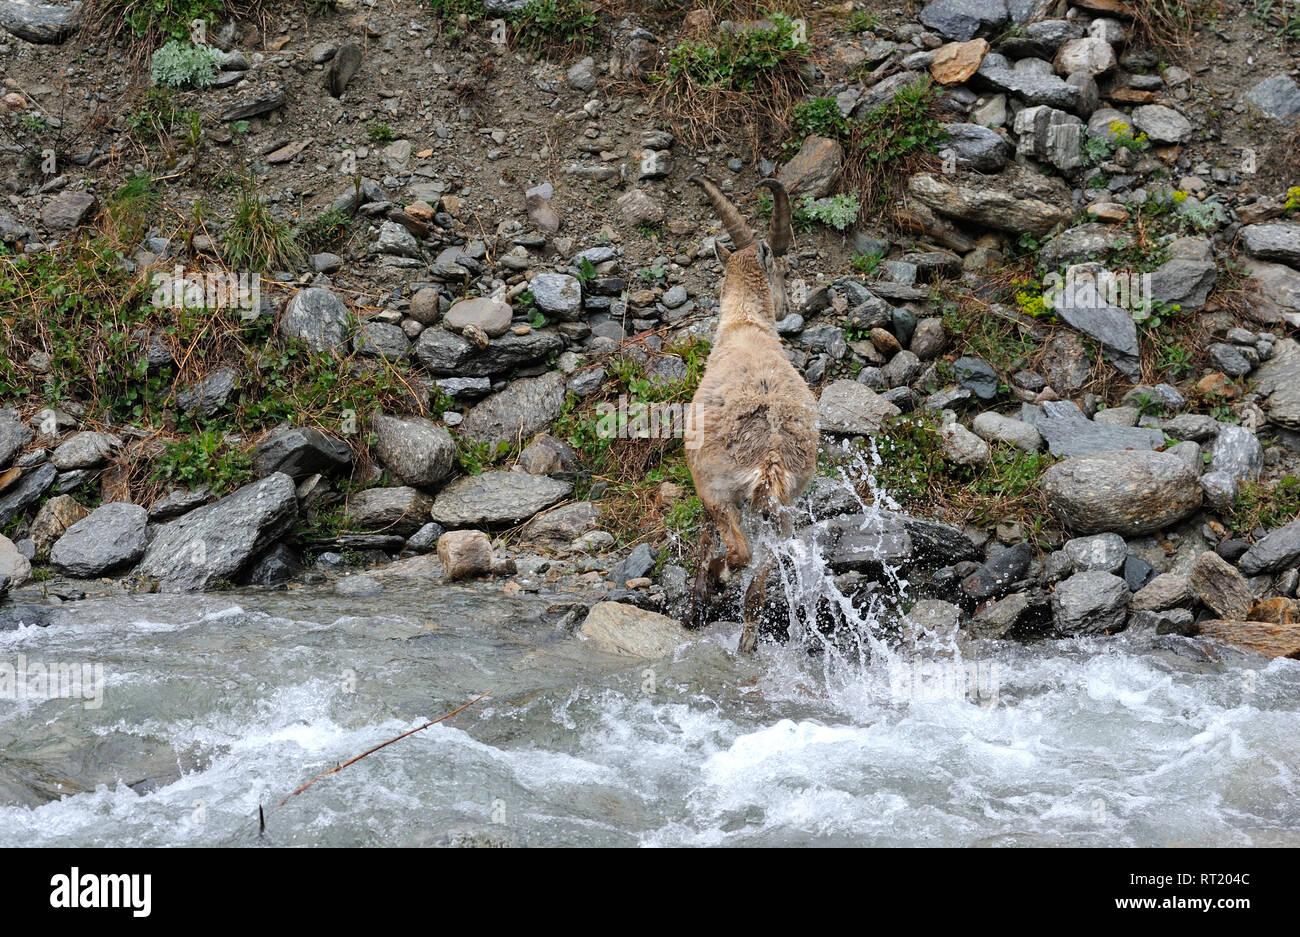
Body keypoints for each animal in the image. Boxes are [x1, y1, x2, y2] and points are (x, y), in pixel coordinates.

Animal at [684, 175, 819, 653]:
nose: (788, 306)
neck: (746, 326)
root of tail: (771, 458)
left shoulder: (706, 486)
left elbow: (706, 538)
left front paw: (700, 593)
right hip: (782, 511)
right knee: (758, 589)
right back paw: (745, 644)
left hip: (721, 490)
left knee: (739, 554)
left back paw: (715, 582)